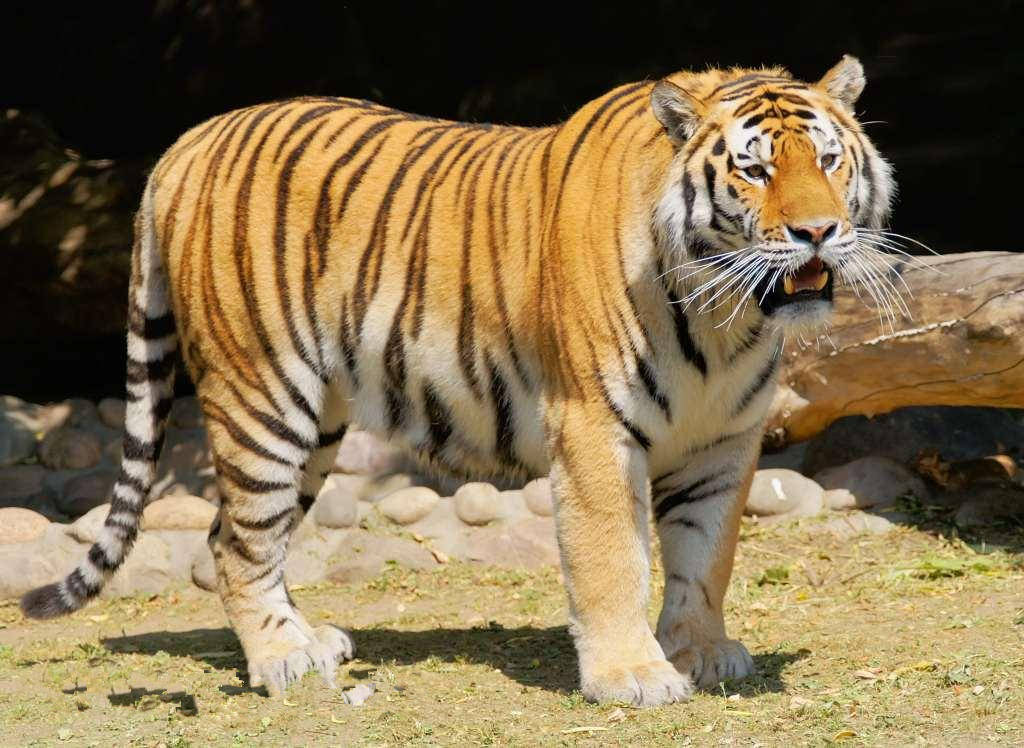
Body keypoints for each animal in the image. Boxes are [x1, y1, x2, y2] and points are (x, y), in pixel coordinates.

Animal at [22, 54, 896, 706]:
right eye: (753, 171)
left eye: (827, 159)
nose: (818, 232)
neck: (727, 316)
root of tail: (189, 140)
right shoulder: (592, 426)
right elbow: (614, 556)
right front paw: (633, 676)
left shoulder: (724, 437)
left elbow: (706, 556)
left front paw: (701, 652)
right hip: (262, 395)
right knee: (239, 540)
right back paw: (280, 661)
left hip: (318, 420)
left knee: (232, 533)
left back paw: (311, 640)